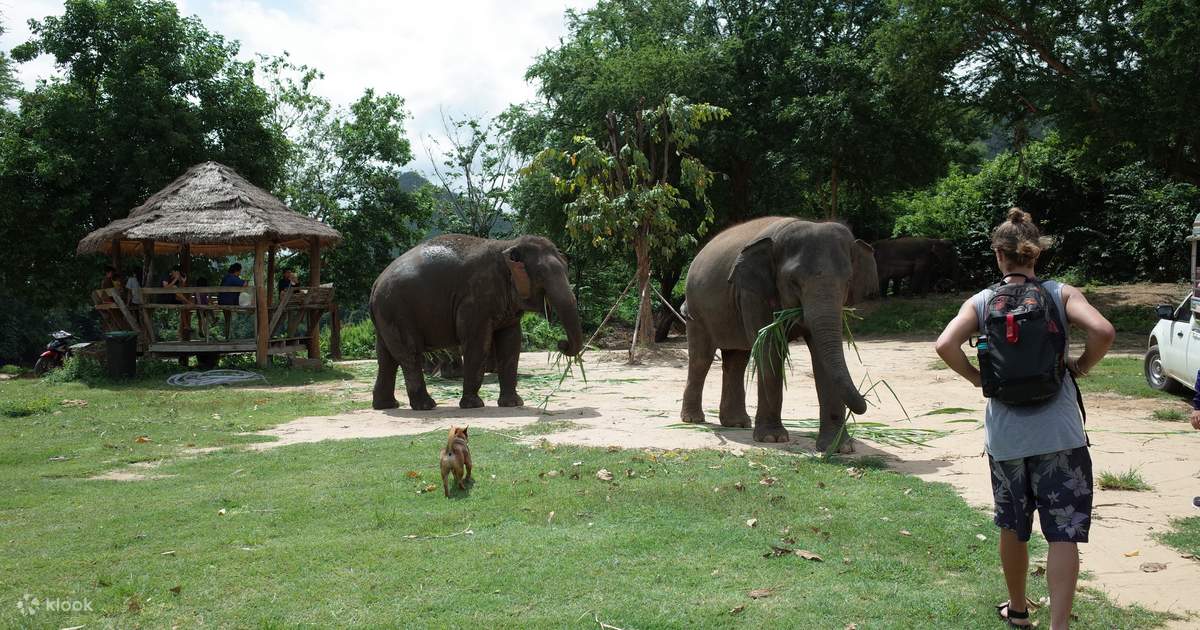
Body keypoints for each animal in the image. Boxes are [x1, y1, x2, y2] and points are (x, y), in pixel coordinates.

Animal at [369, 234, 584, 410]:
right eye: (540, 275)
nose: (561, 343)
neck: (508, 245)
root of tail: (375, 285)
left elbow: (511, 343)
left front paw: (513, 404)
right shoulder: (475, 299)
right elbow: (477, 343)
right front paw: (473, 405)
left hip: (386, 317)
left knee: (386, 357)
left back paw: (387, 405)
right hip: (397, 311)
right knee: (409, 354)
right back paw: (426, 406)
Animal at [680, 217, 878, 450]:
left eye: (848, 281)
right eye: (794, 281)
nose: (865, 402)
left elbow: (821, 358)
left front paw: (839, 448)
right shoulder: (753, 294)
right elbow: (770, 349)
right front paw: (772, 439)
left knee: (737, 359)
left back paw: (736, 423)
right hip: (697, 310)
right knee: (702, 358)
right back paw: (693, 419)